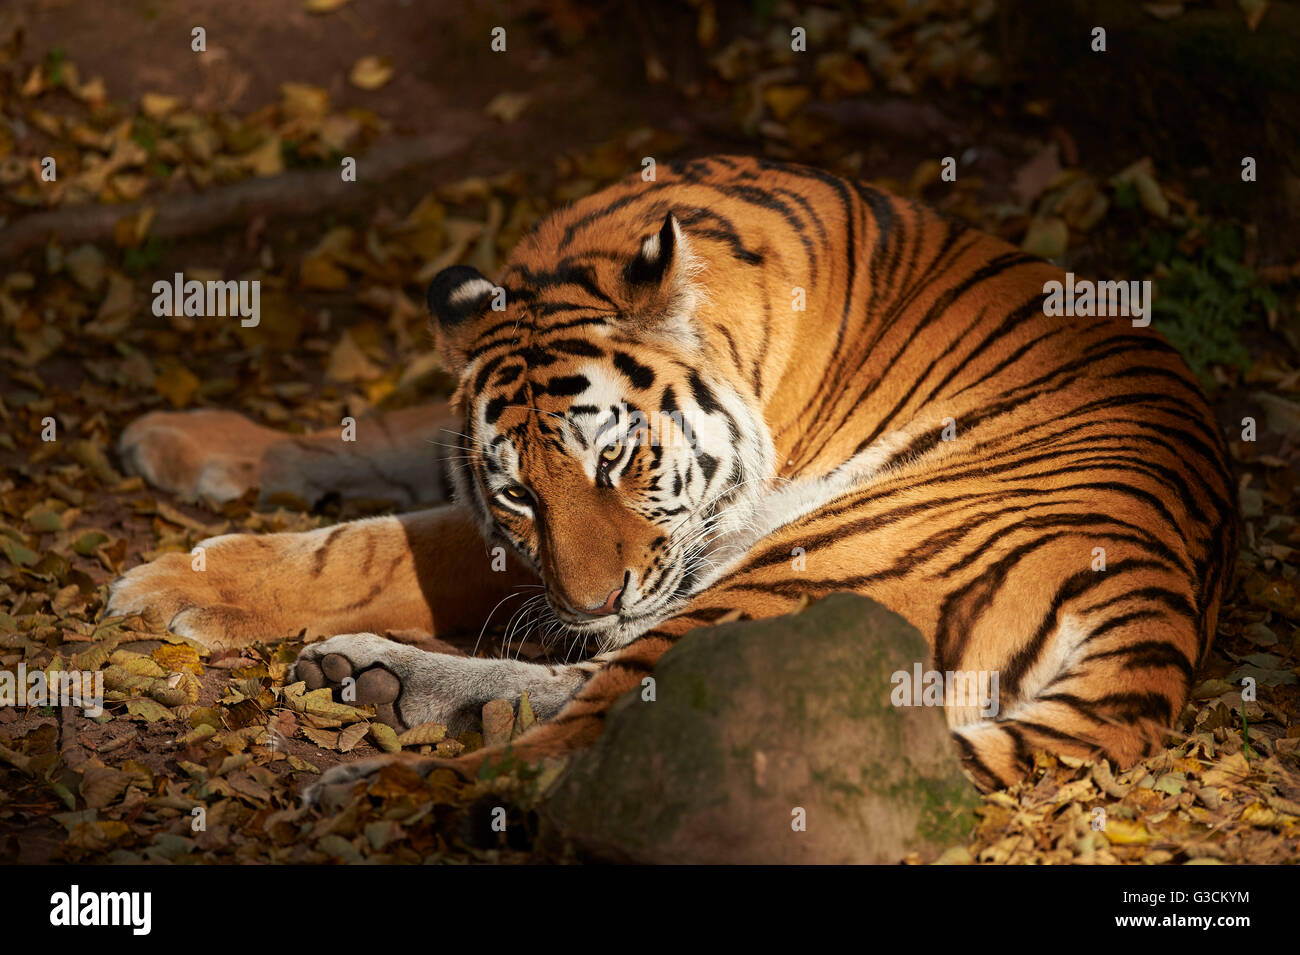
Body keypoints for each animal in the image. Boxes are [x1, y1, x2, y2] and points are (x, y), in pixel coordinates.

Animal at [107, 154, 1236, 795]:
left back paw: (371, 786)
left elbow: (368, 544)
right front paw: (181, 442)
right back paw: (381, 679)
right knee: (608, 693)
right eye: (516, 491)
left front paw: (171, 583)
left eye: (615, 458)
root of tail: (1157, 602)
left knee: (574, 739)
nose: (589, 598)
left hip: (802, 564)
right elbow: (372, 429)